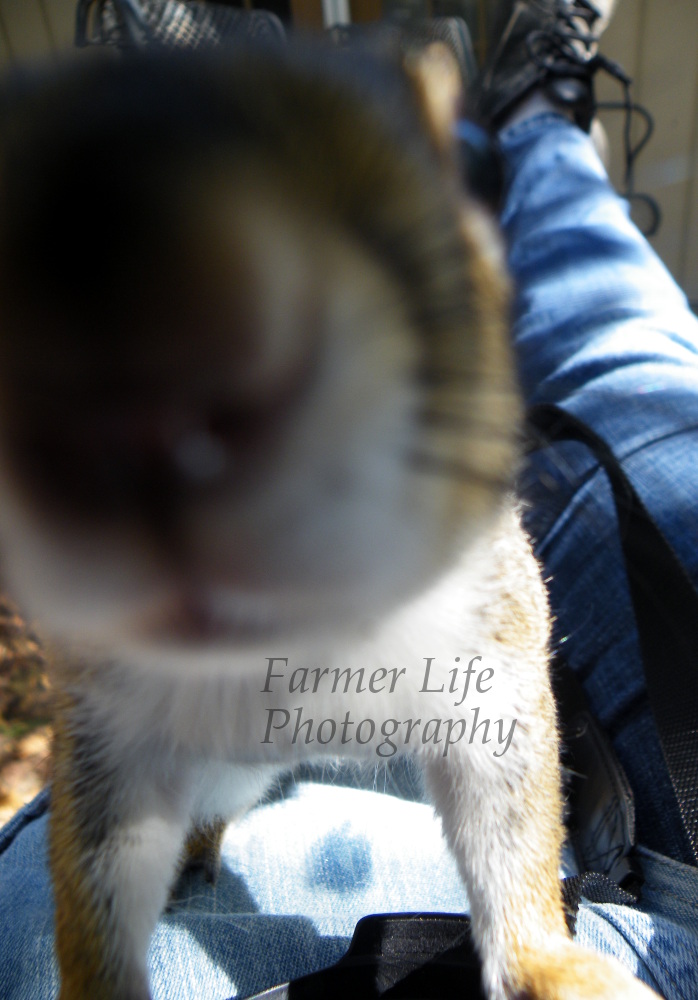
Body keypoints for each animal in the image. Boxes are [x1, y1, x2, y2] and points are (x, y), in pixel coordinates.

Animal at [0, 41, 658, 1000]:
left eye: (449, 193)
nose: (134, 414)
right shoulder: (109, 728)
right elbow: (93, 880)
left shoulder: (494, 668)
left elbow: (512, 834)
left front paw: (553, 966)